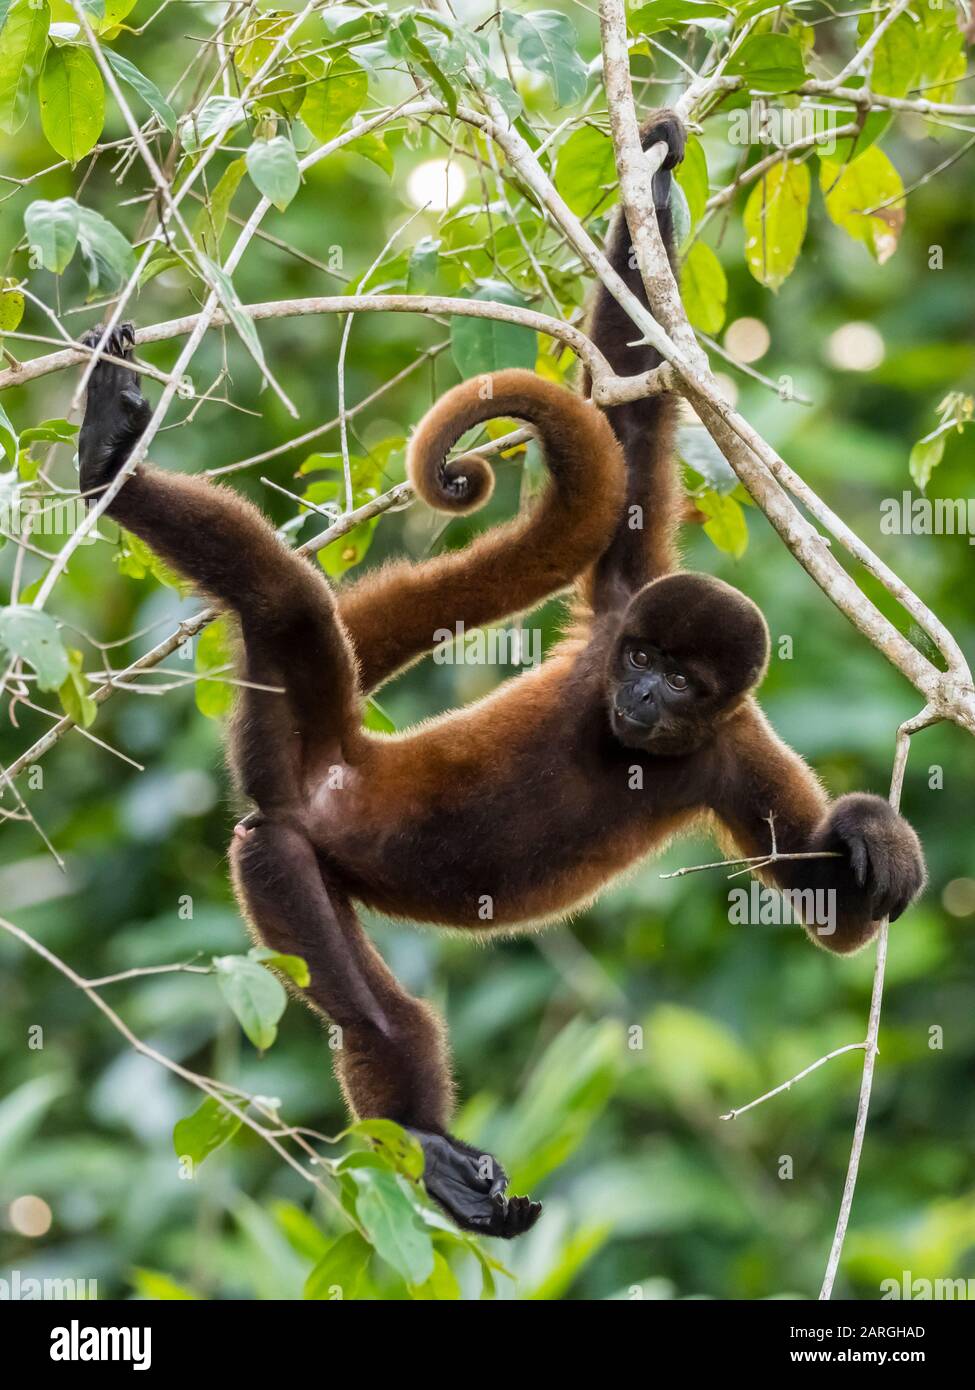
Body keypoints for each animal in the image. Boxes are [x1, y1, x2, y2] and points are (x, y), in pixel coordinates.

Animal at [76, 114, 925, 1240]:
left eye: (685, 685)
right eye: (645, 661)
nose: (641, 697)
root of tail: (335, 770)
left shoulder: (735, 750)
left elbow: (835, 919)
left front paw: (874, 836)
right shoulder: (614, 618)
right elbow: (627, 430)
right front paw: (653, 192)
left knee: (386, 1012)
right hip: (285, 779)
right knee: (281, 606)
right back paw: (107, 459)